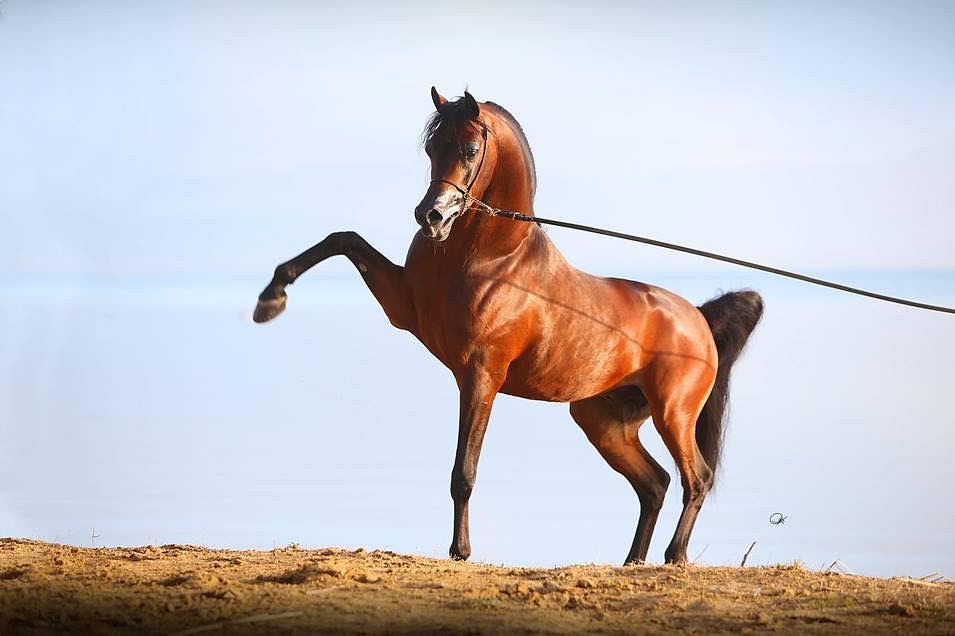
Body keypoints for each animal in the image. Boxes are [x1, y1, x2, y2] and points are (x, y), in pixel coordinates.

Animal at [253, 88, 763, 565]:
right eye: (431, 146)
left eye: (469, 150)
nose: (430, 217)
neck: (488, 258)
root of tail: (697, 317)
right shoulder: (403, 308)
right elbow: (344, 239)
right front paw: (271, 299)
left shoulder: (481, 375)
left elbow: (464, 472)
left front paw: (460, 551)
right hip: (604, 421)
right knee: (654, 483)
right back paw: (632, 561)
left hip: (672, 414)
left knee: (696, 479)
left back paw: (673, 557)